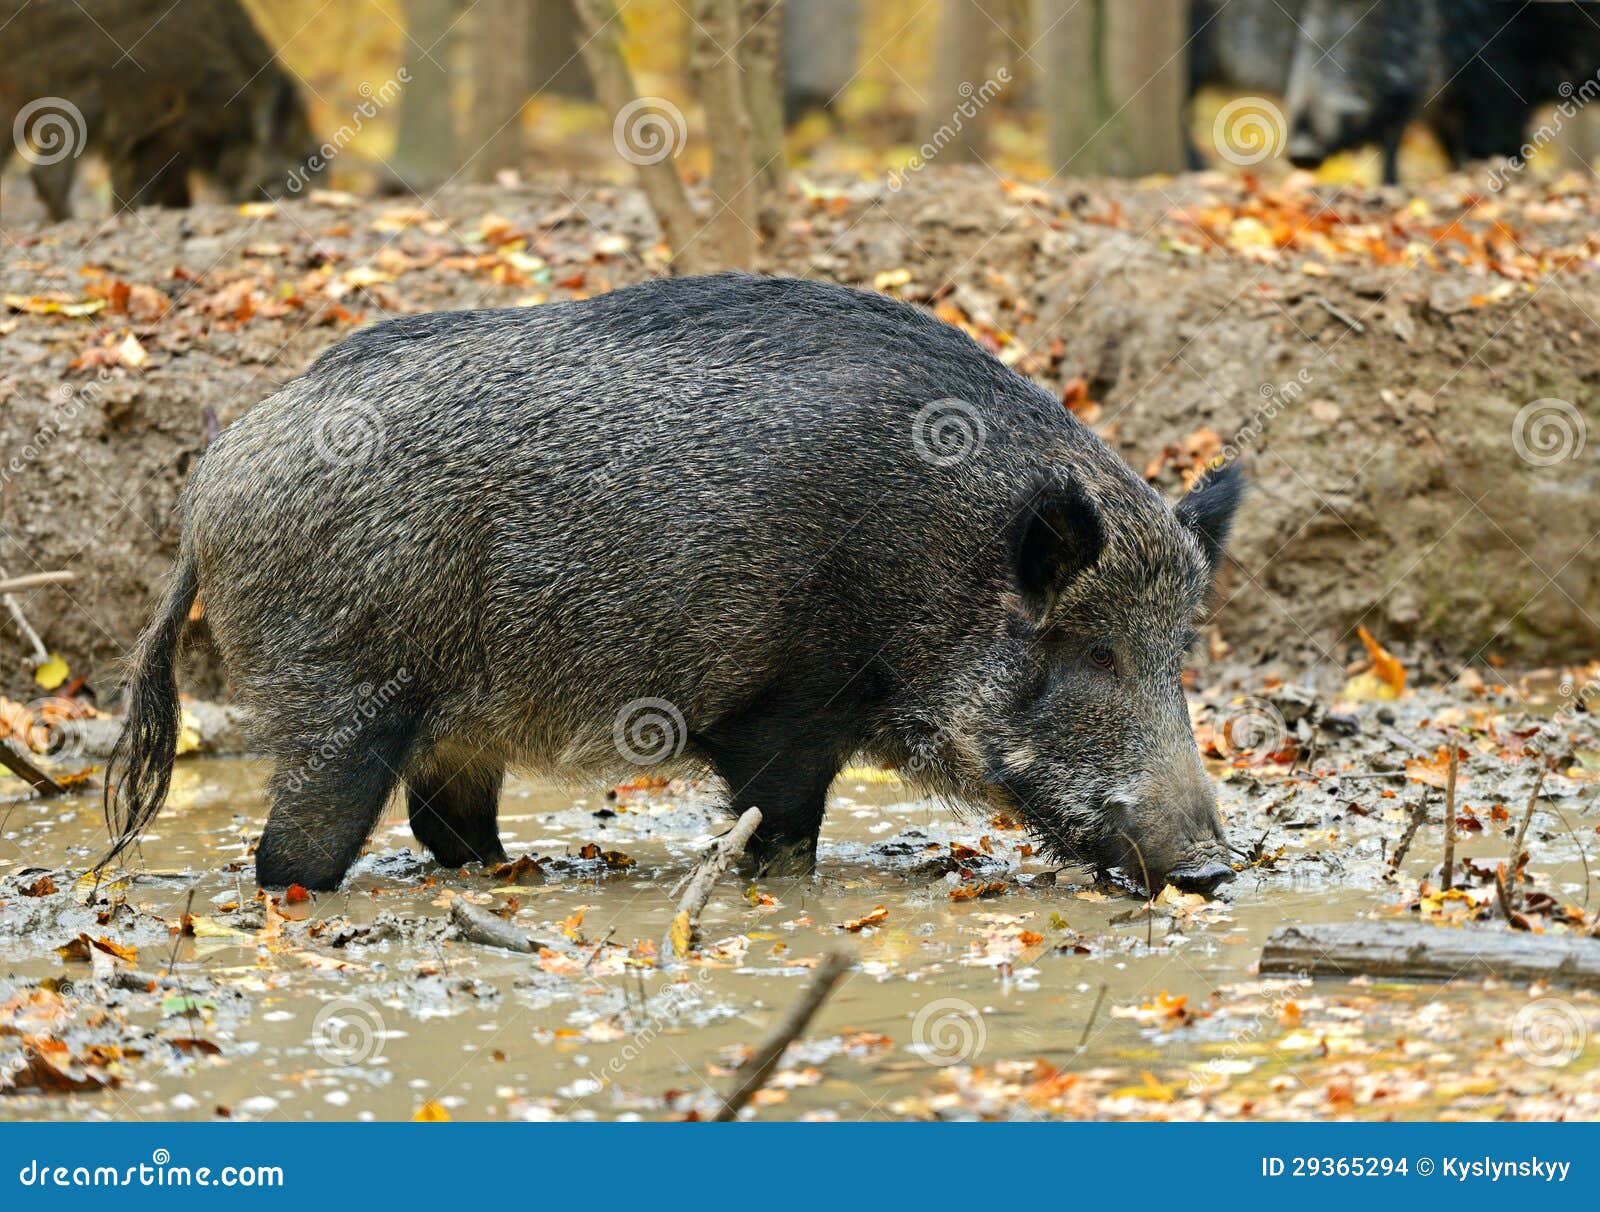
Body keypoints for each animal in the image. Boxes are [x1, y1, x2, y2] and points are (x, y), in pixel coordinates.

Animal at [102, 274, 1244, 896]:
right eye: (1094, 649)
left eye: (1177, 651)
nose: (1210, 867)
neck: (940, 561)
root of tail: (212, 486)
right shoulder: (779, 713)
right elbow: (782, 837)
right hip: (338, 699)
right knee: (289, 857)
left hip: (453, 724)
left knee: (448, 831)